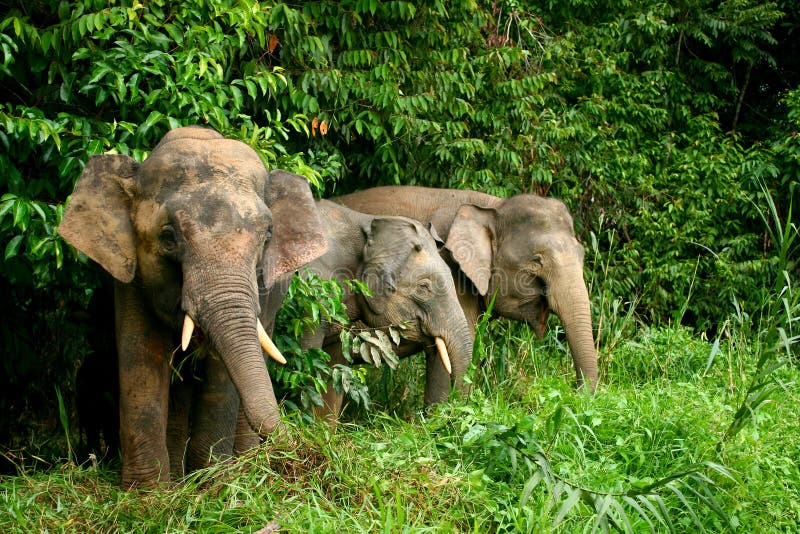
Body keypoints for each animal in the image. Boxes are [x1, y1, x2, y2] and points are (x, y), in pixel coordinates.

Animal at [58, 126, 328, 488]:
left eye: (267, 236)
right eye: (168, 236)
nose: (306, 453)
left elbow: (220, 373)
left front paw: (216, 485)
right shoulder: (132, 275)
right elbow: (141, 355)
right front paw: (149, 495)